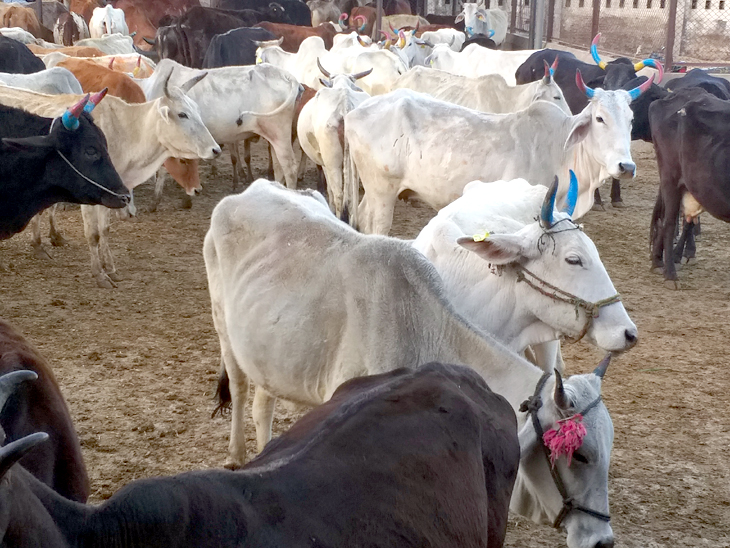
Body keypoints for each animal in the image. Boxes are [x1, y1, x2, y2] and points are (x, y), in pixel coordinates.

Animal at [297, 62, 371, 214]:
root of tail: (345, 103)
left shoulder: (324, 161)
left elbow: (329, 189)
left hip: (332, 161)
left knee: (339, 194)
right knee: (353, 196)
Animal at [344, 76, 654, 234]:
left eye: (630, 119)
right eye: (600, 118)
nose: (626, 166)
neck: (562, 150)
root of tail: (353, 112)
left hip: (374, 192)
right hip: (383, 191)